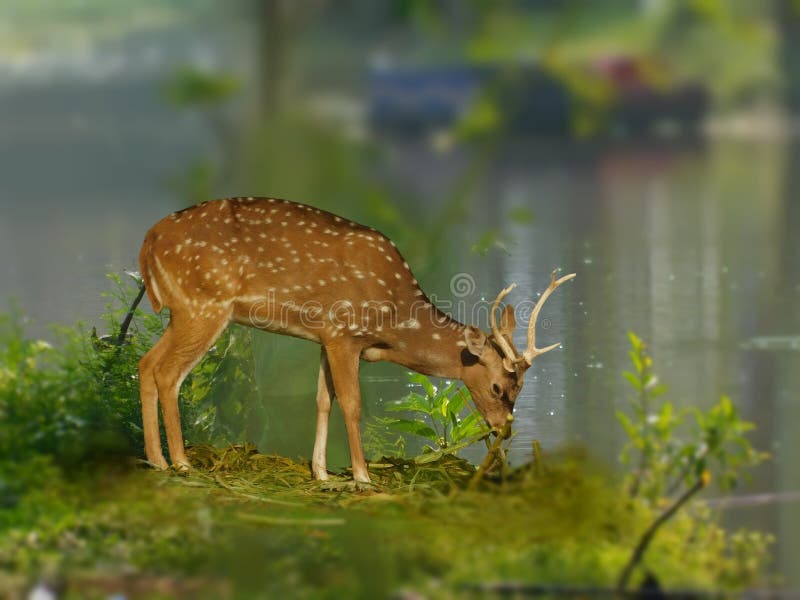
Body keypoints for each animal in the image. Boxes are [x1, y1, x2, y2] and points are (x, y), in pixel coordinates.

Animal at [137, 197, 575, 483]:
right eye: (500, 386)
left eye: (520, 387)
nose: (505, 429)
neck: (395, 322)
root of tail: (148, 241)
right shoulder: (344, 332)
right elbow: (351, 403)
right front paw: (362, 476)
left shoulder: (323, 338)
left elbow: (322, 400)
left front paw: (321, 473)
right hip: (203, 304)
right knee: (168, 373)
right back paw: (180, 463)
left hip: (182, 310)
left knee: (145, 363)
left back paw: (156, 460)